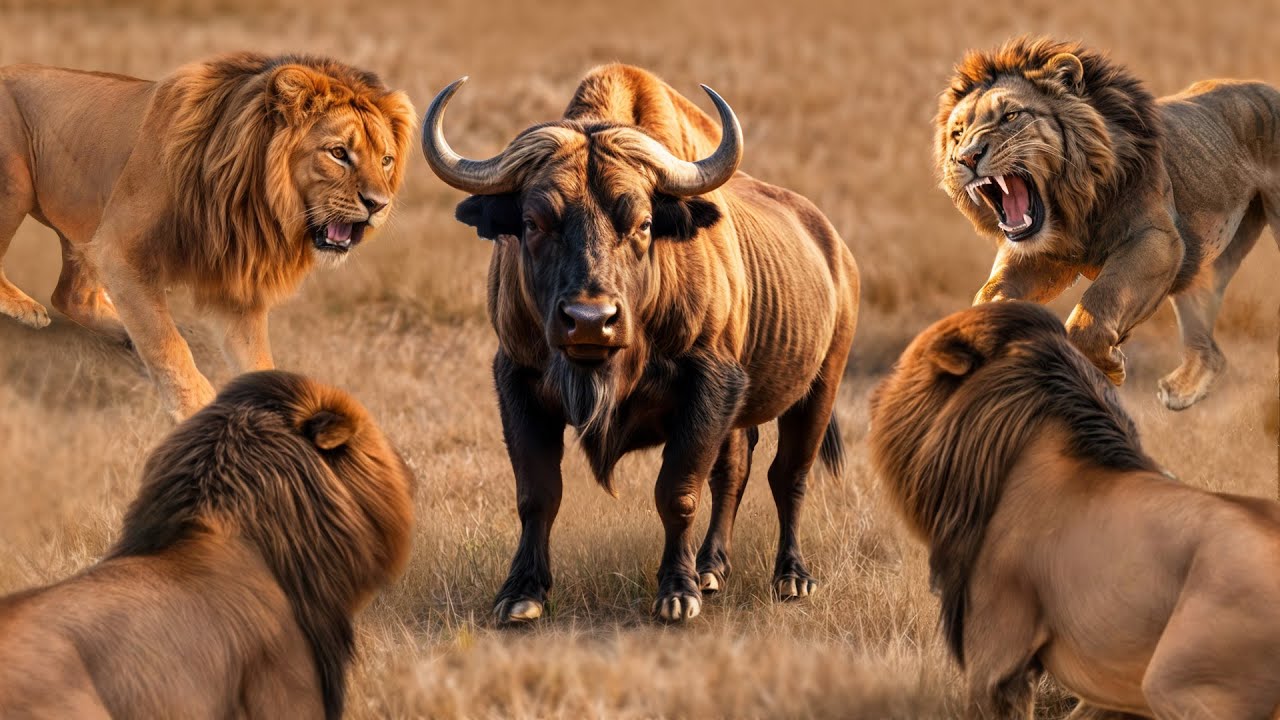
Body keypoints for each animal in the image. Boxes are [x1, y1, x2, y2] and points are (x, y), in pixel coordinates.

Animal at [0, 53, 415, 418]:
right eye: (338, 153)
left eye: (386, 160)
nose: (378, 204)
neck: (254, 204)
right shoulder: (119, 248)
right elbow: (166, 344)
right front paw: (194, 408)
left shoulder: (236, 289)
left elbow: (256, 360)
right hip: (16, 184)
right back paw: (25, 308)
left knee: (71, 296)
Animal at [421, 64, 859, 623]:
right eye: (533, 222)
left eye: (643, 223)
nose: (590, 321)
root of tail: (835, 250)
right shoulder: (517, 380)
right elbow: (537, 494)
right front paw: (522, 593)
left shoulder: (709, 386)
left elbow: (678, 493)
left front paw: (678, 591)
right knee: (734, 471)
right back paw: (713, 567)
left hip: (819, 387)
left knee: (790, 476)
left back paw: (791, 577)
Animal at [936, 36, 1280, 410]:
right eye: (957, 133)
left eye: (1011, 115)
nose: (967, 157)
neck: (1073, 206)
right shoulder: (1040, 256)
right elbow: (989, 293)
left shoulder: (1159, 239)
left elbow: (1103, 298)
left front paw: (1109, 365)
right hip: (1203, 264)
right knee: (1211, 353)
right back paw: (1182, 390)